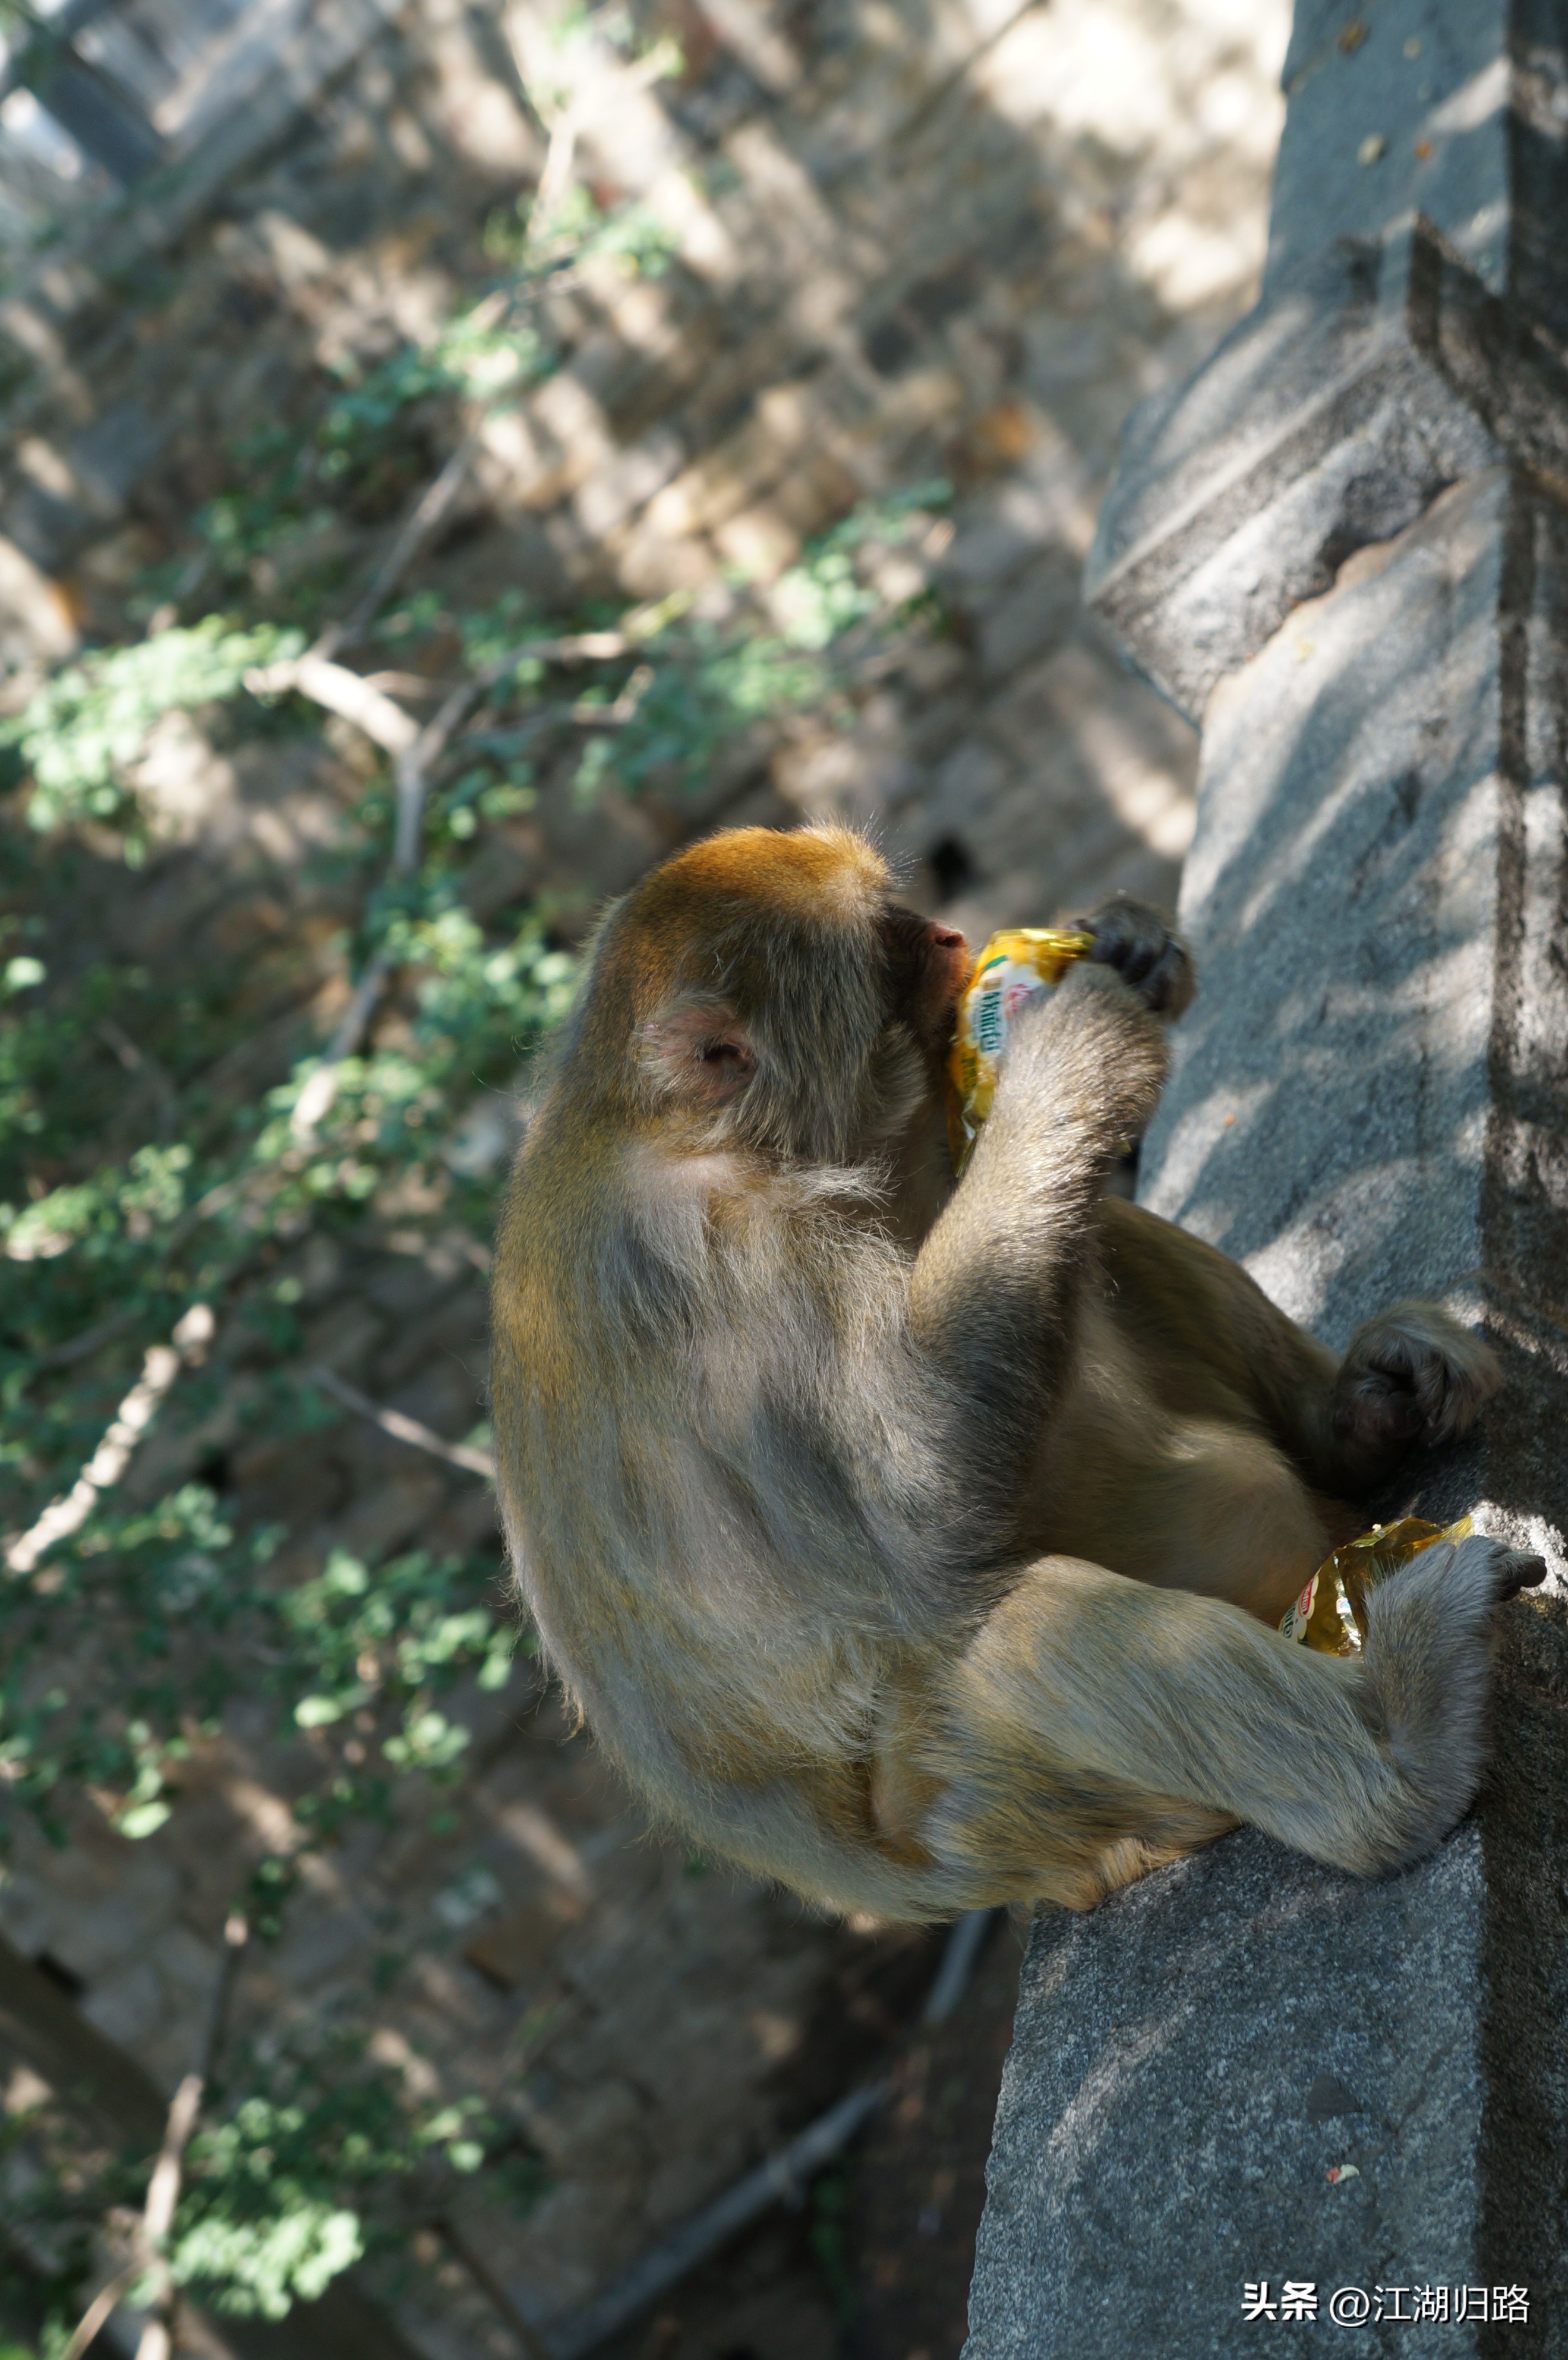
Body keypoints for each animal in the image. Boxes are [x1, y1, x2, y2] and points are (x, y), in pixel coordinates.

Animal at [489, 822, 1543, 1918]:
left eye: (907, 914)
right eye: (895, 943)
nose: (954, 937)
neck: (697, 1132)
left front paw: (1125, 949)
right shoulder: (714, 1264)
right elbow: (922, 1491)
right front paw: (1069, 1052)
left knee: (1079, 1235)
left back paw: (1353, 1421)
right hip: (1002, 1807)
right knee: (1017, 1627)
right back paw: (1397, 1763)